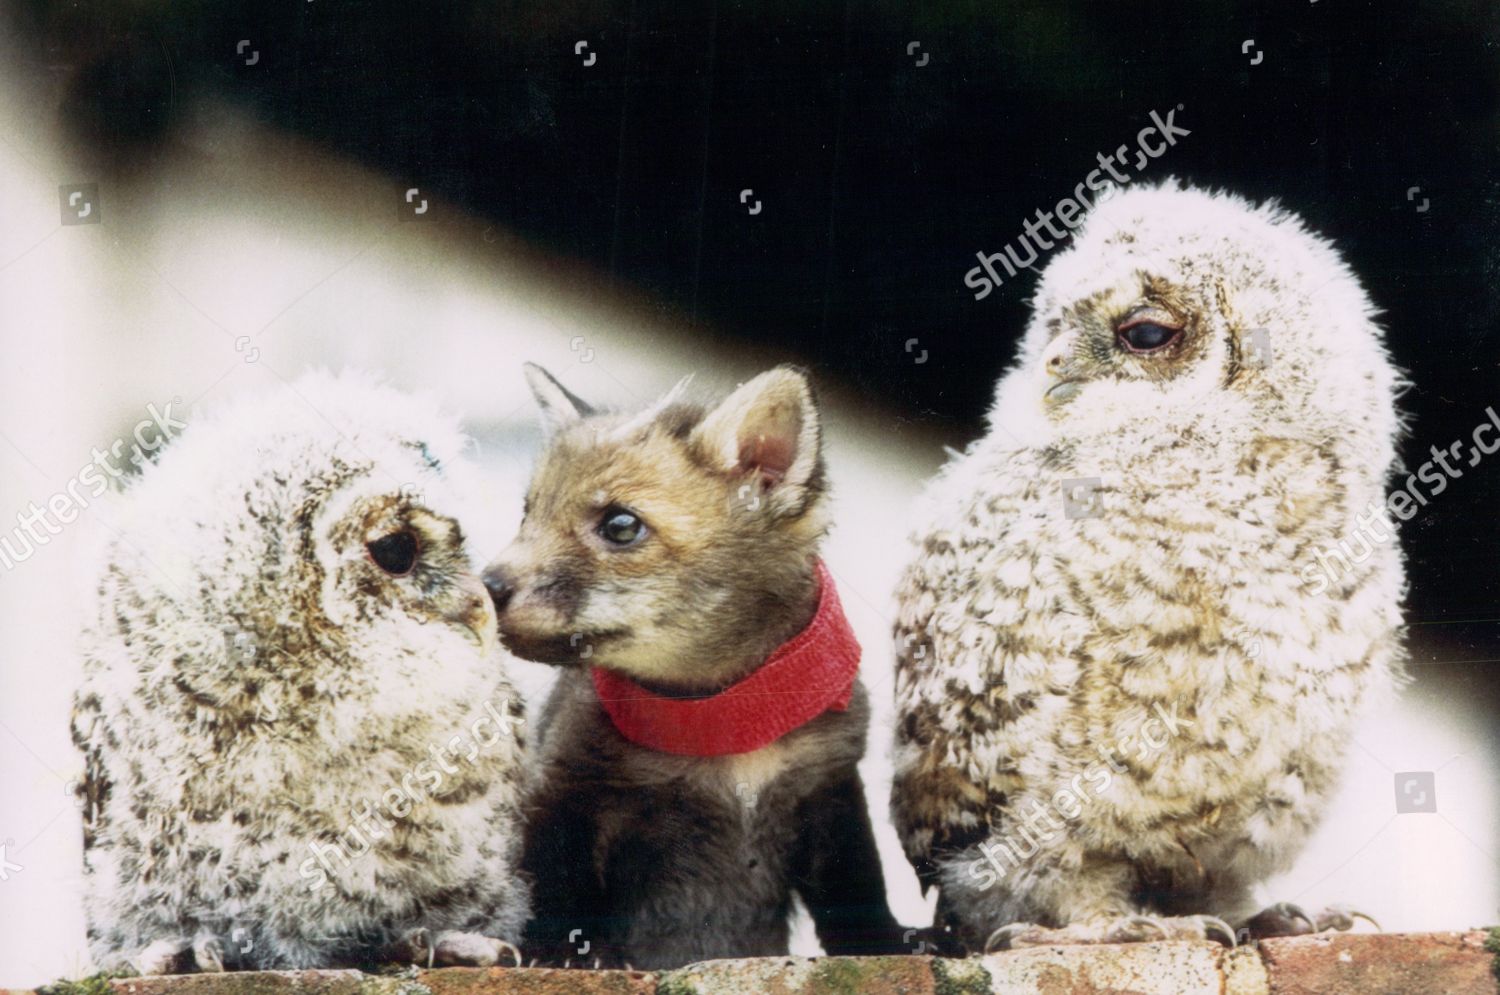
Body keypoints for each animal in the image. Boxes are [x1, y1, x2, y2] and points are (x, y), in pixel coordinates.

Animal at [482, 363, 902, 969]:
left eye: (621, 525)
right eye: (528, 513)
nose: (487, 586)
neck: (722, 728)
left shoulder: (830, 786)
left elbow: (858, 889)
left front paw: (885, 945)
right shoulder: (565, 784)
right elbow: (555, 880)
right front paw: (565, 951)